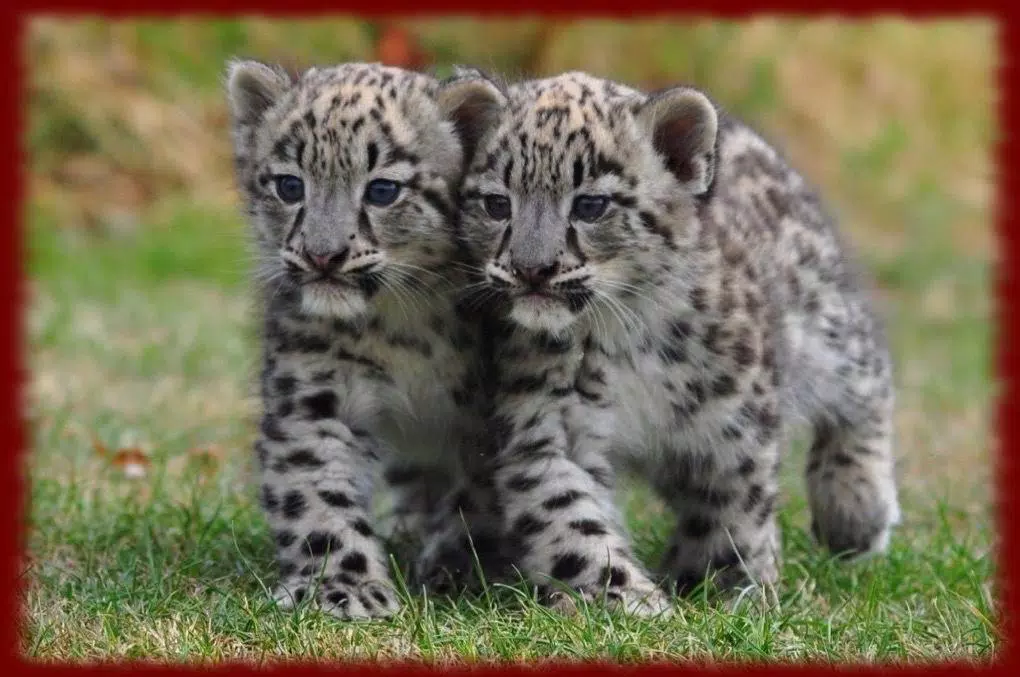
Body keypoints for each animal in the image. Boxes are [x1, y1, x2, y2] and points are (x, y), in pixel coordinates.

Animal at [225, 60, 513, 619]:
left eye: (382, 191)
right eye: (289, 185)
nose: (322, 255)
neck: (399, 325)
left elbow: (480, 495)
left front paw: (456, 567)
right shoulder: (311, 398)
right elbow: (316, 497)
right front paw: (345, 589)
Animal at [441, 68, 901, 615]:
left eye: (591, 205)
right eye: (496, 204)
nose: (532, 269)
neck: (617, 335)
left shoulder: (732, 417)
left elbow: (736, 505)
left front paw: (737, 589)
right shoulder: (544, 428)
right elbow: (571, 524)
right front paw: (635, 601)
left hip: (827, 317)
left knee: (868, 385)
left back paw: (856, 512)